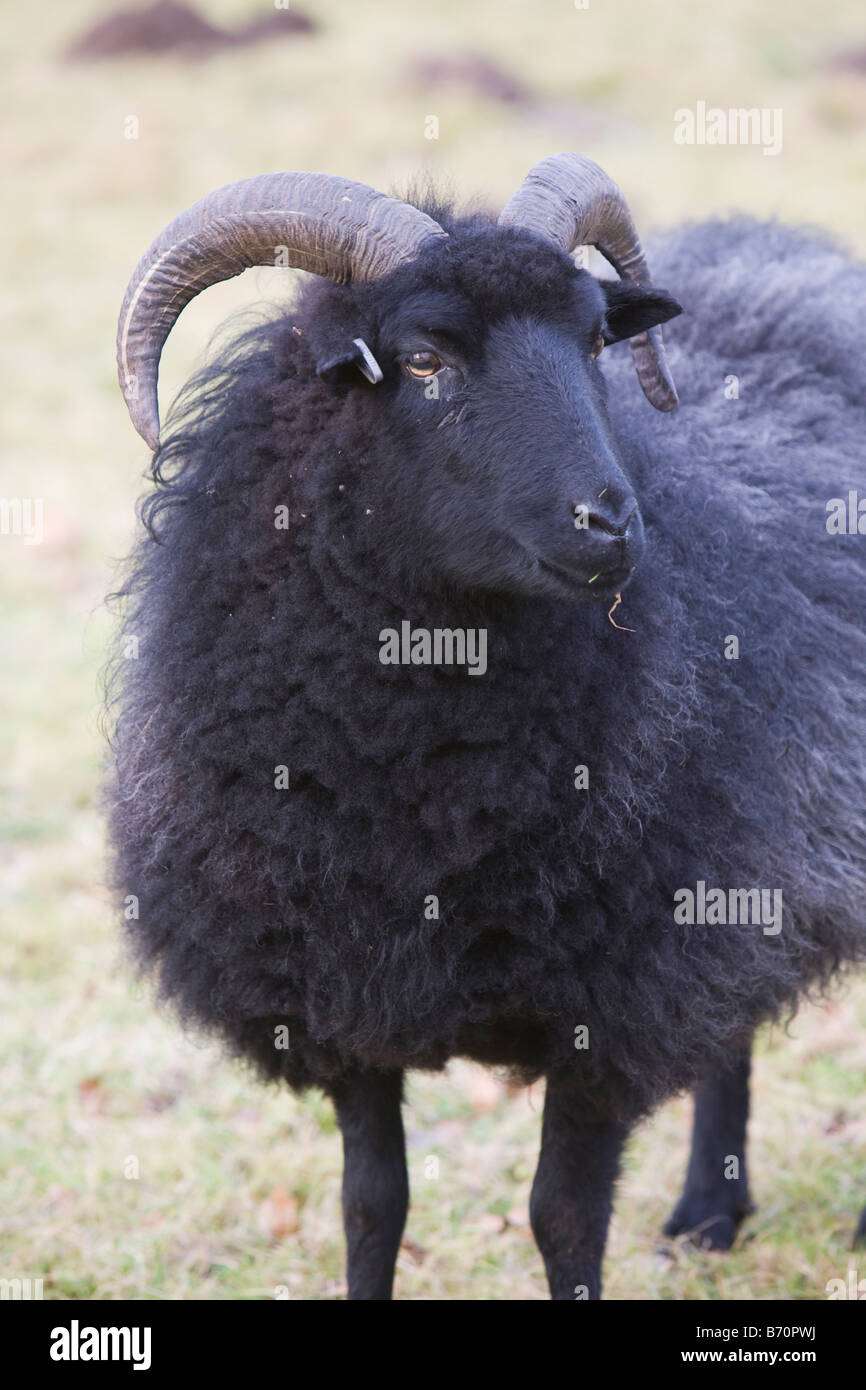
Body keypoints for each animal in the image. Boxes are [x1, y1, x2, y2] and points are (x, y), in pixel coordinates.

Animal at [108, 153, 866, 1299]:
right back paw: (706, 1214)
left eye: (596, 340)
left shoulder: (615, 995)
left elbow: (562, 1216)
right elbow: (371, 1204)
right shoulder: (339, 991)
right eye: (423, 357)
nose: (611, 523)